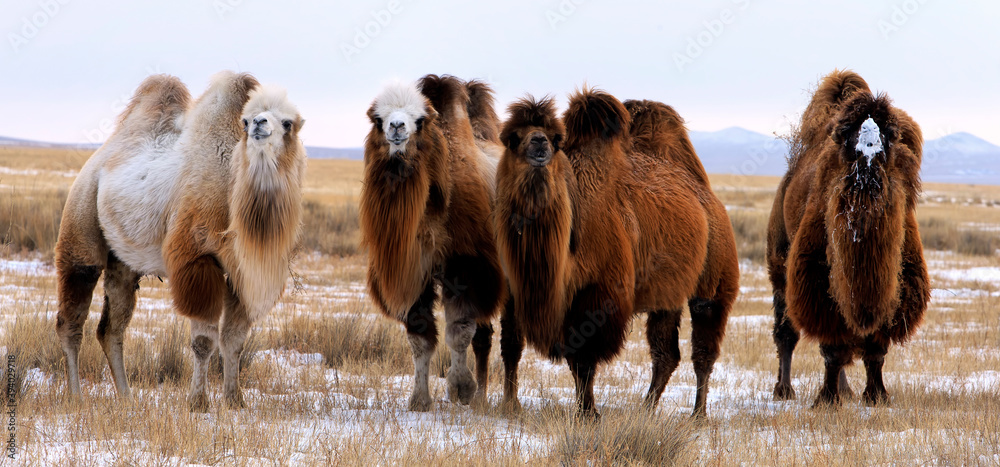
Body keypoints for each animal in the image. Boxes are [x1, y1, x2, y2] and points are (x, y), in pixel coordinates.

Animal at [55, 71, 306, 411]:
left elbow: (235, 341)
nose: (259, 124)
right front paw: (198, 402)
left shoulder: (244, 273)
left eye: (287, 123)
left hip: (122, 262)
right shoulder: (197, 259)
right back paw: (76, 395)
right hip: (80, 221)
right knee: (71, 317)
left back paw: (126, 396)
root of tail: (97, 160)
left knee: (111, 328)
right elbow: (203, 341)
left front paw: (235, 400)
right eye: (245, 120)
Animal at [360, 75, 505, 411]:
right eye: (377, 119)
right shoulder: (414, 273)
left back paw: (485, 396)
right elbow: (420, 339)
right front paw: (419, 399)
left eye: (420, 120)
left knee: (488, 335)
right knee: (484, 334)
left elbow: (459, 332)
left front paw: (461, 387)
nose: (396, 126)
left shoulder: (467, 267)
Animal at [495, 90, 739, 418]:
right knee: (666, 353)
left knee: (703, 347)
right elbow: (511, 345)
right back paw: (646, 409)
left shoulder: (600, 293)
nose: (539, 143)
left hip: (714, 277)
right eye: (512, 138)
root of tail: (708, 197)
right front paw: (511, 404)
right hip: (667, 295)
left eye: (556, 138)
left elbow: (583, 358)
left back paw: (697, 415)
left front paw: (587, 413)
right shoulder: (515, 289)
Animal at [767, 70, 930, 407]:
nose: (867, 155)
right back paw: (784, 390)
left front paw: (877, 395)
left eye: (889, 137)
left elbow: (876, 349)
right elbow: (832, 346)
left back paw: (845, 389)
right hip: (779, 264)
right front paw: (827, 400)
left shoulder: (896, 288)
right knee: (786, 331)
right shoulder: (815, 280)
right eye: (845, 137)